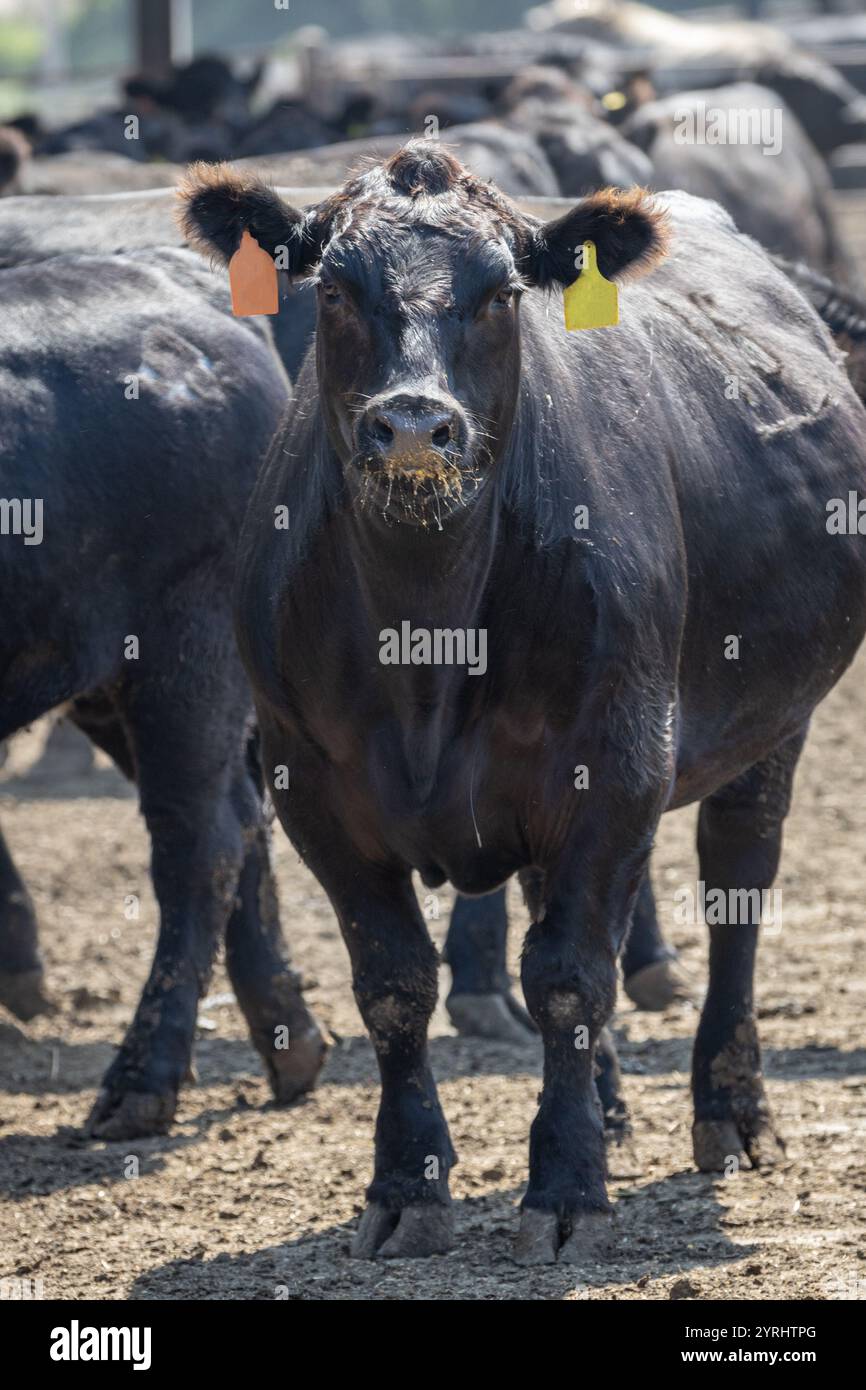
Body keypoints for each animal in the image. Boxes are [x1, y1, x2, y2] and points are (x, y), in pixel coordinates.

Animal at [0, 245, 326, 1137]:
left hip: (187, 651)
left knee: (197, 843)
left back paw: (142, 1080)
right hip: (108, 677)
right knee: (241, 825)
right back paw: (291, 1044)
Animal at [180, 142, 866, 1262]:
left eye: (500, 294)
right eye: (334, 289)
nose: (415, 423)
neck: (426, 631)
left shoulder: (616, 763)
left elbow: (569, 977)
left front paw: (568, 1187)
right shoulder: (310, 786)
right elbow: (395, 984)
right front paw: (406, 1182)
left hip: (770, 727)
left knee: (735, 890)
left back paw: (727, 1109)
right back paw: (610, 1101)